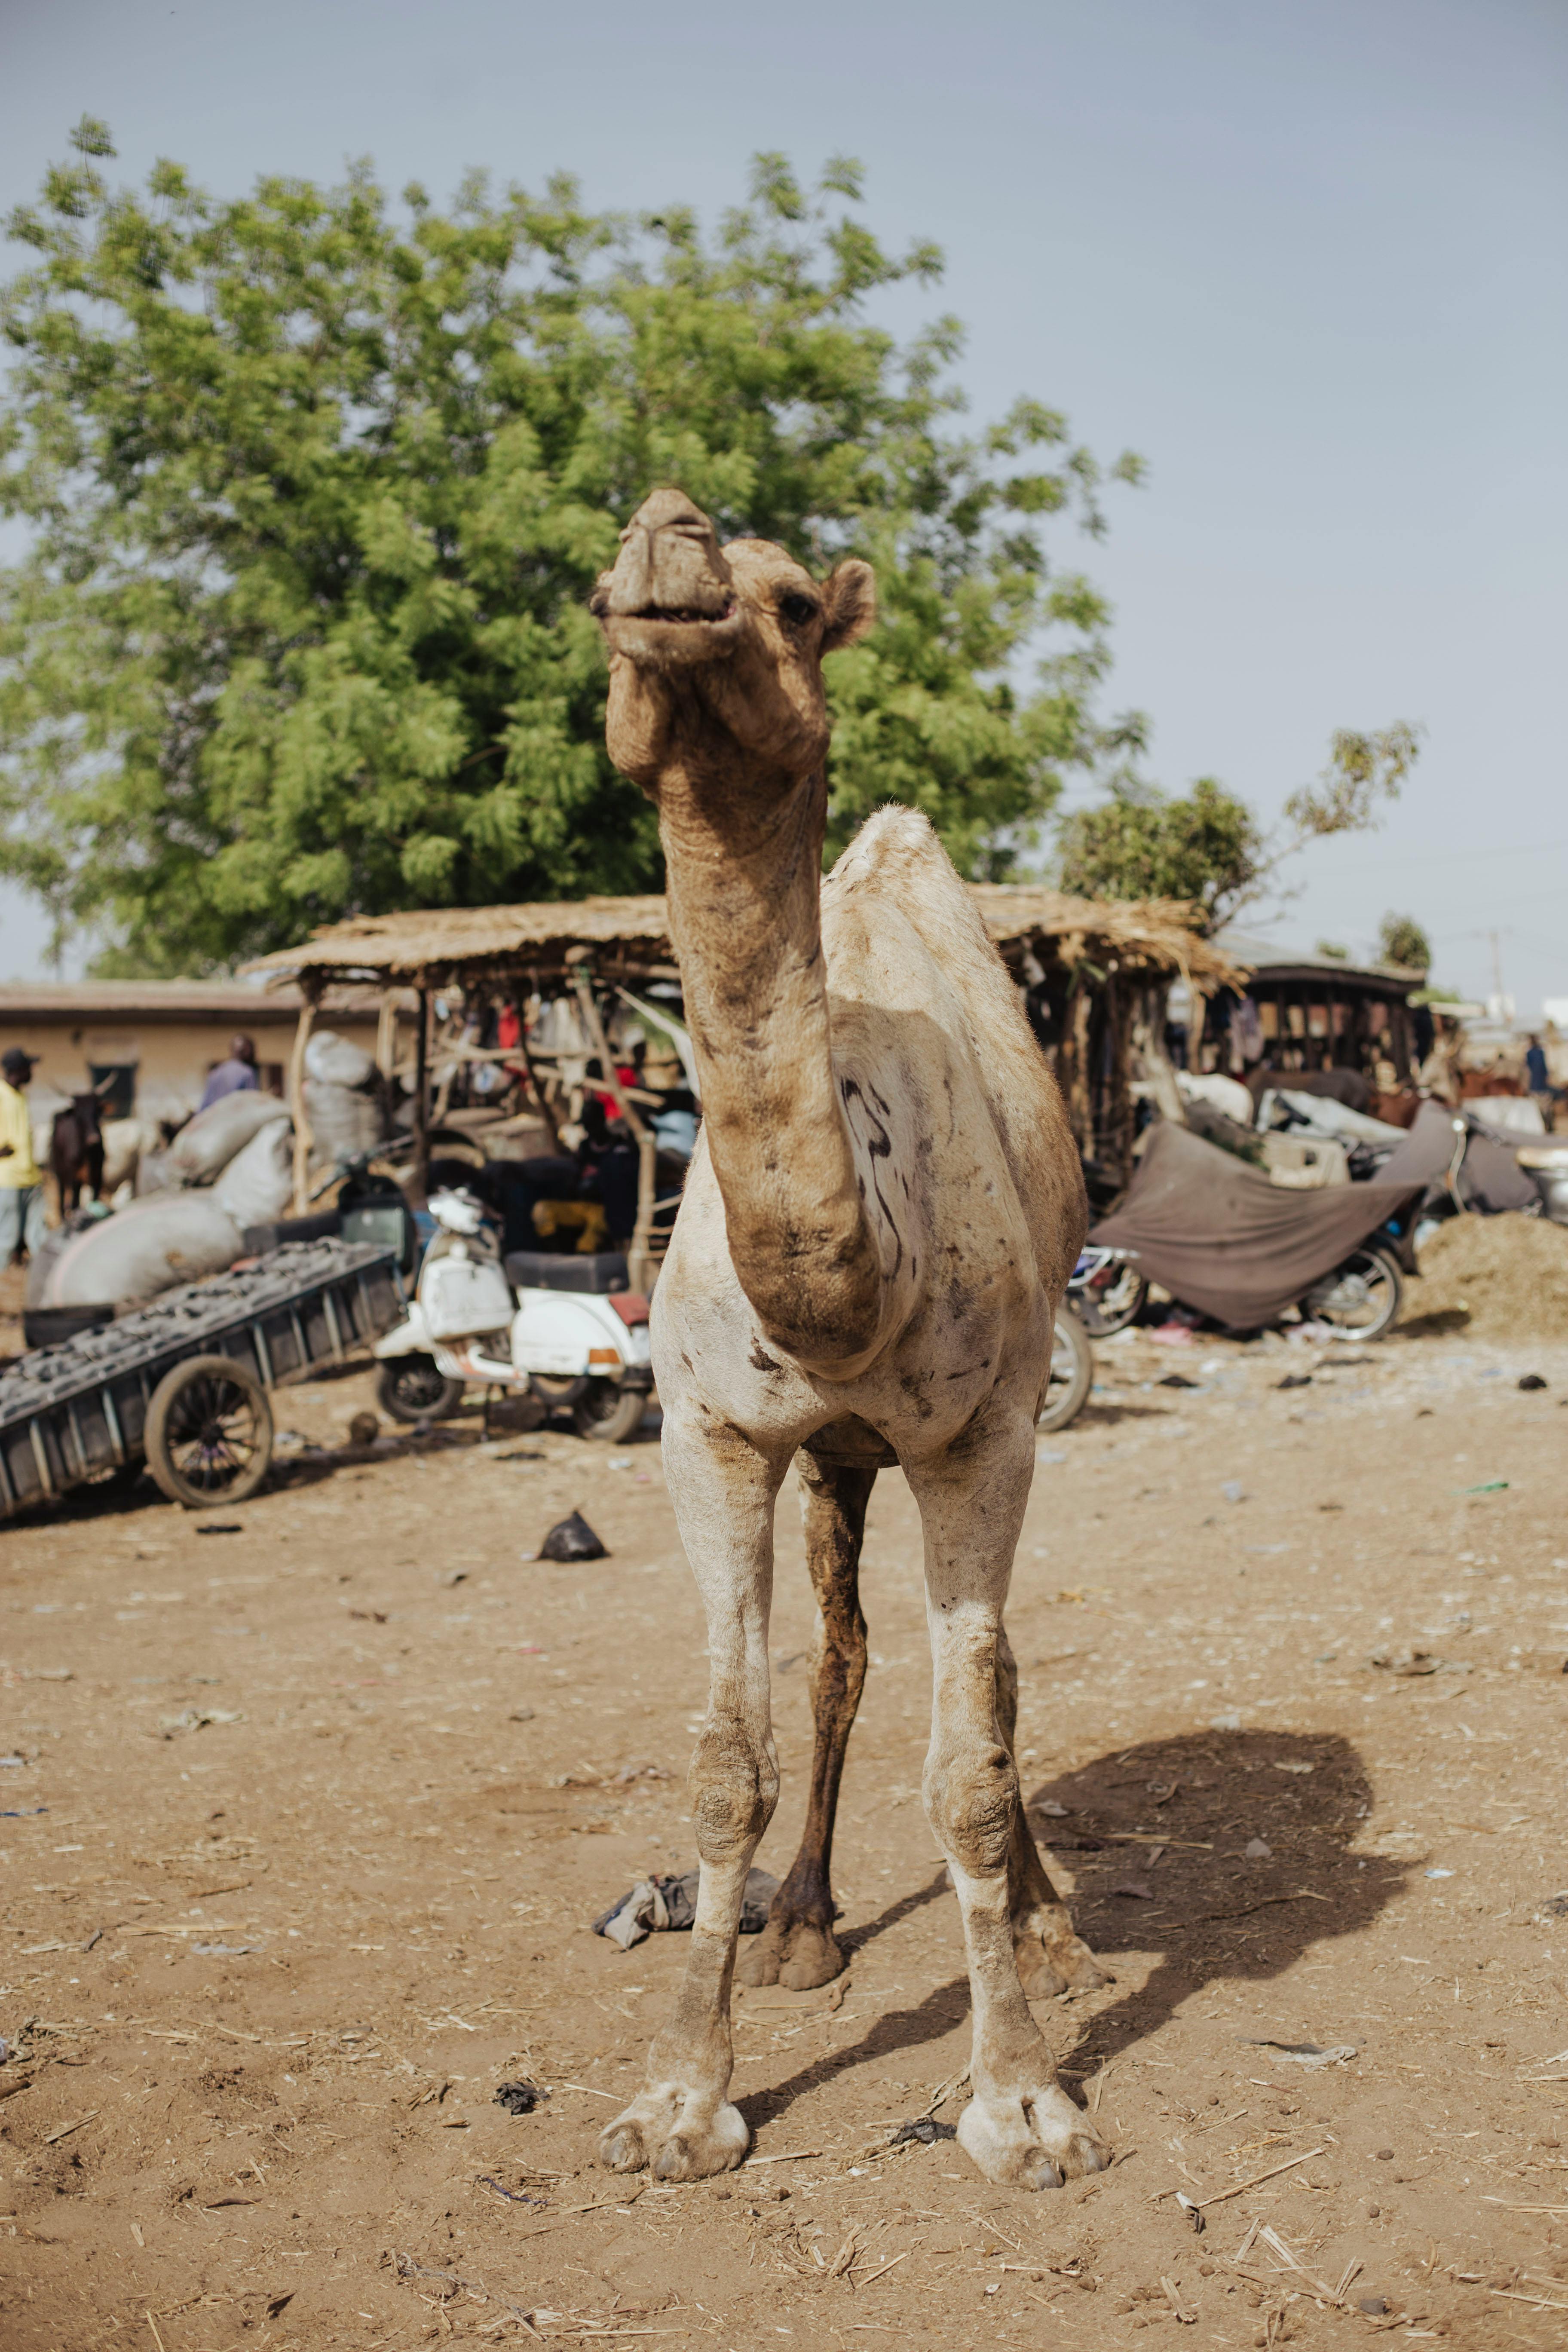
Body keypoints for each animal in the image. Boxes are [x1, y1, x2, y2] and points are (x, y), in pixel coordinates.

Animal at [587, 488, 1111, 2192]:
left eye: (799, 603)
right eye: (602, 593)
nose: (671, 545)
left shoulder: (983, 1436)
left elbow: (973, 1760)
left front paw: (1020, 2098)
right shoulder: (711, 1434)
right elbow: (721, 1754)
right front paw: (680, 2101)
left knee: (990, 1687)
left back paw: (1051, 1929)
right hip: (833, 1458)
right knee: (842, 1654)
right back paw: (805, 1925)